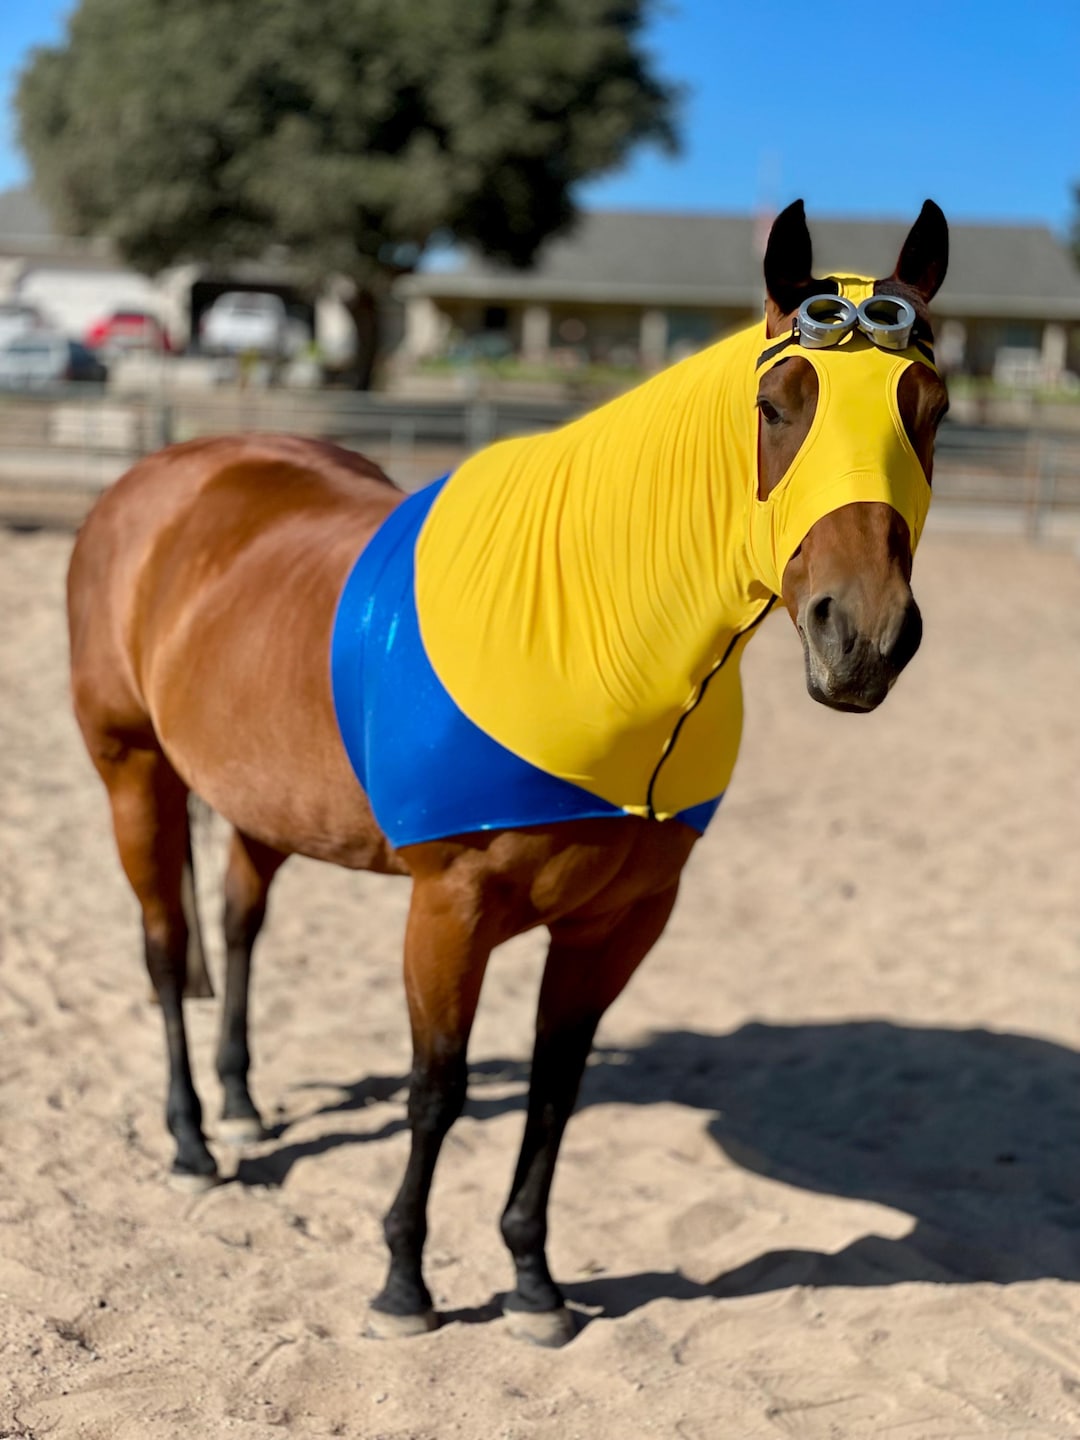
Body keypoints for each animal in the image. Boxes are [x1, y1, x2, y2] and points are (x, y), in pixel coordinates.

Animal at [67, 200, 950, 1346]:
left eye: (929, 408)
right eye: (776, 405)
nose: (865, 639)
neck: (593, 639)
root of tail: (156, 479)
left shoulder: (619, 922)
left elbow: (552, 1090)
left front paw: (533, 1281)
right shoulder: (450, 908)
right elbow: (436, 1088)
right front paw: (404, 1283)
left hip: (255, 797)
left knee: (238, 925)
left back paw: (245, 1105)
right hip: (133, 771)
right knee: (168, 949)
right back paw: (190, 1141)